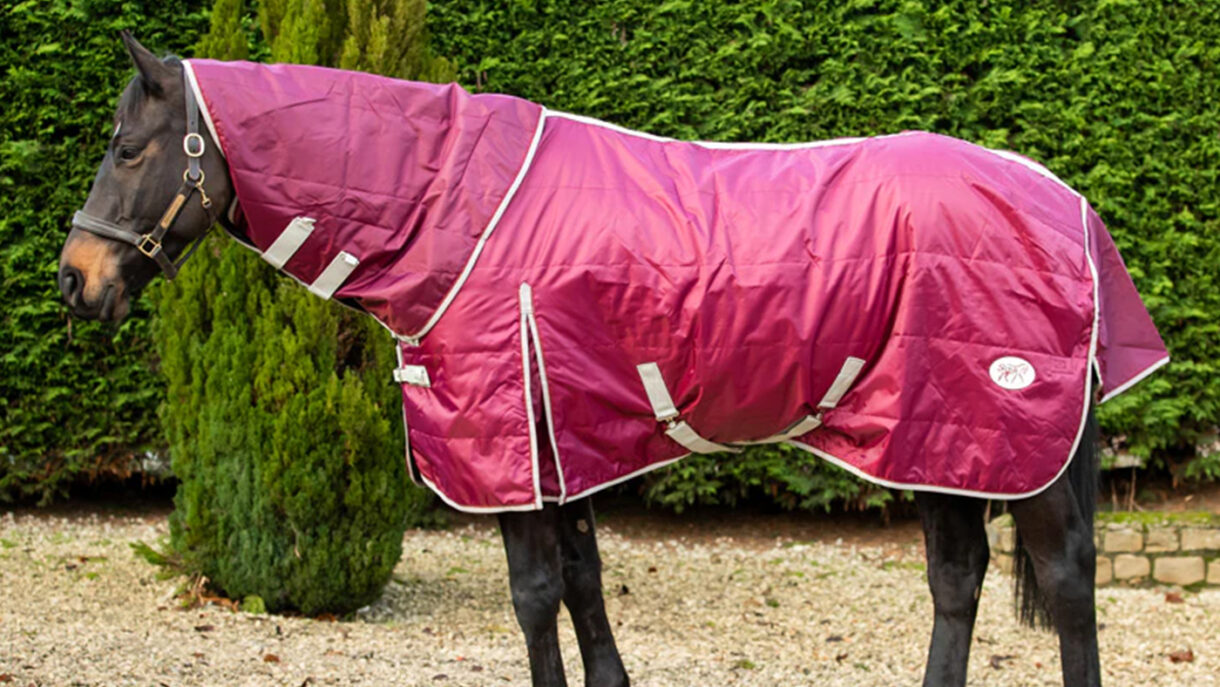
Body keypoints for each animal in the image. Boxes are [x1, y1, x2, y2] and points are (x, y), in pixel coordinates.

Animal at [59, 33, 1165, 687]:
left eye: (127, 146)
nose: (74, 281)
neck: (456, 209)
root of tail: (1063, 201)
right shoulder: (564, 436)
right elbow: (583, 585)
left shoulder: (510, 438)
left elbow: (533, 596)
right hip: (937, 437)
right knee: (958, 578)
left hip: (1002, 429)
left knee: (1064, 581)